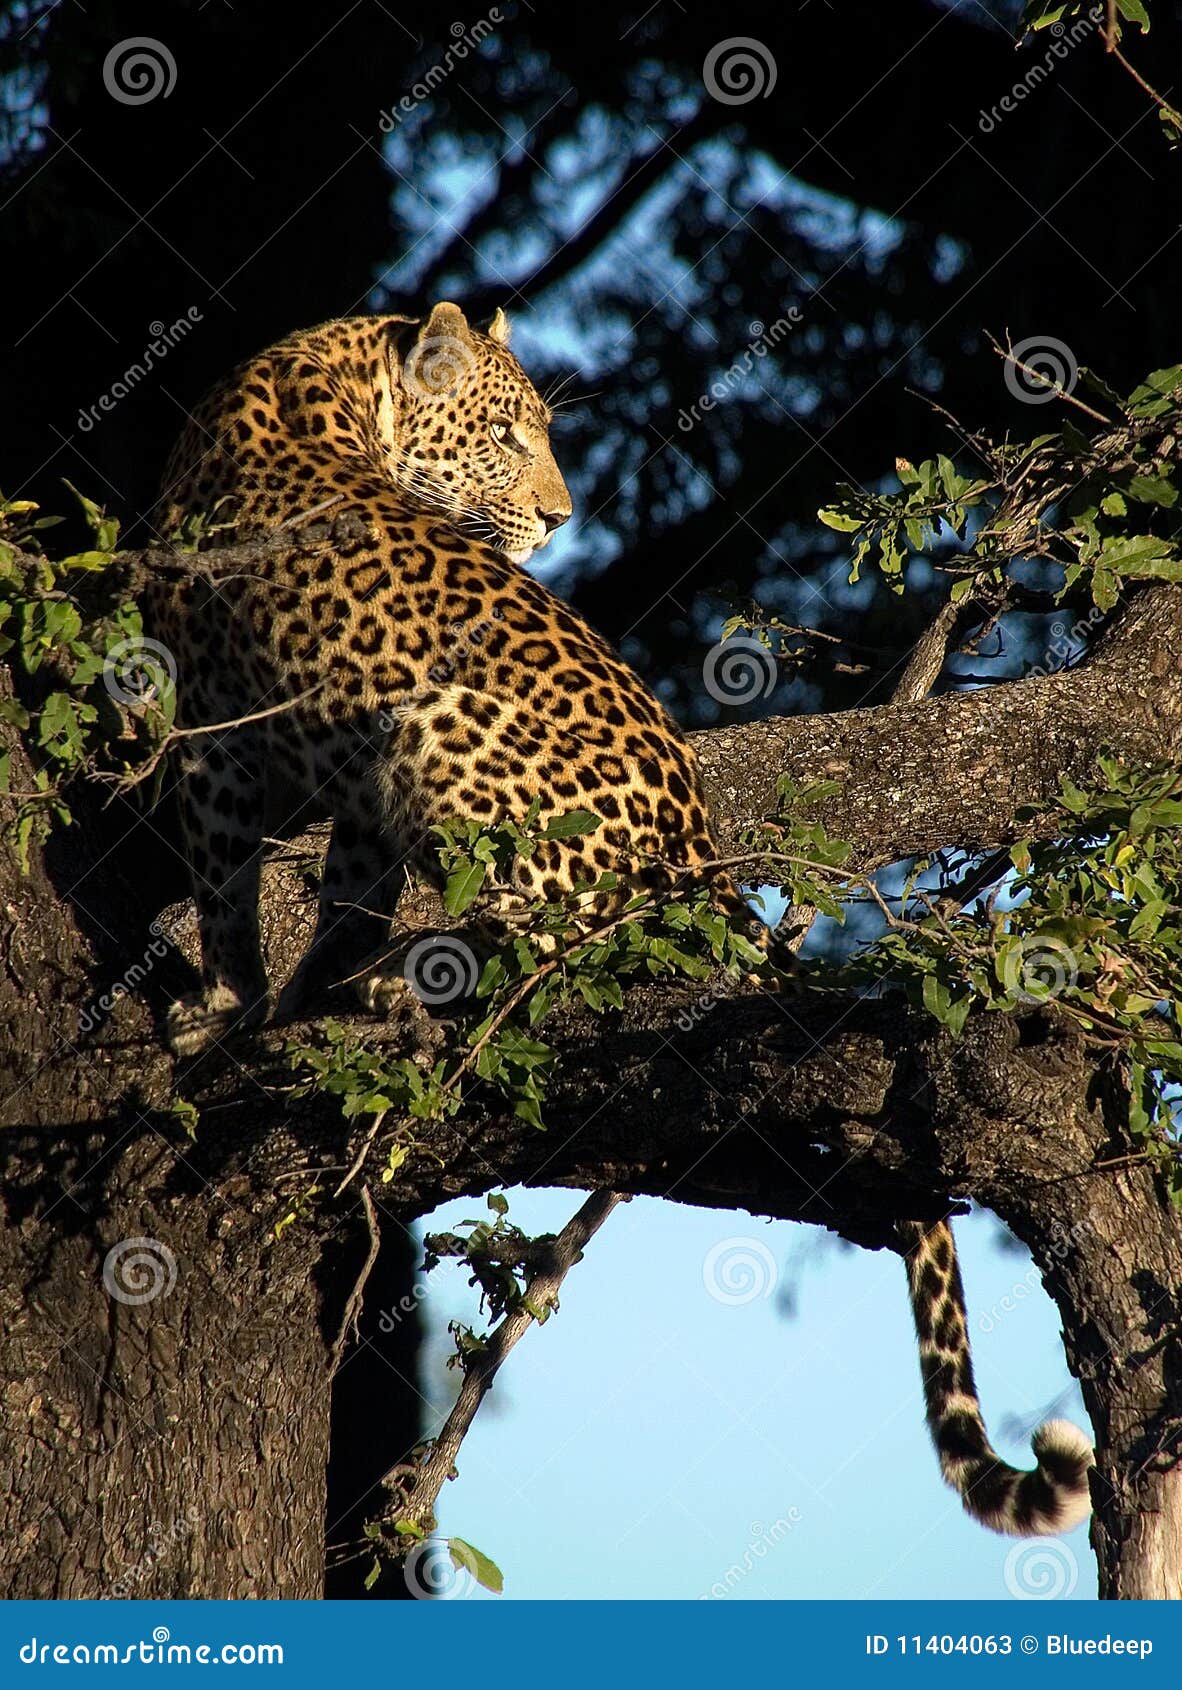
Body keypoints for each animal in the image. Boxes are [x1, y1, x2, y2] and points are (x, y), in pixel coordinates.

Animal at [147, 301, 1093, 1538]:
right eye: (505, 435)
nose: (558, 519)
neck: (332, 377)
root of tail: (695, 838)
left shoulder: (215, 723)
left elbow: (225, 886)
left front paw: (223, 1007)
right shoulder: (323, 766)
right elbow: (338, 891)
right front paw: (296, 993)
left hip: (443, 732)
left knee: (555, 950)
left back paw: (415, 975)